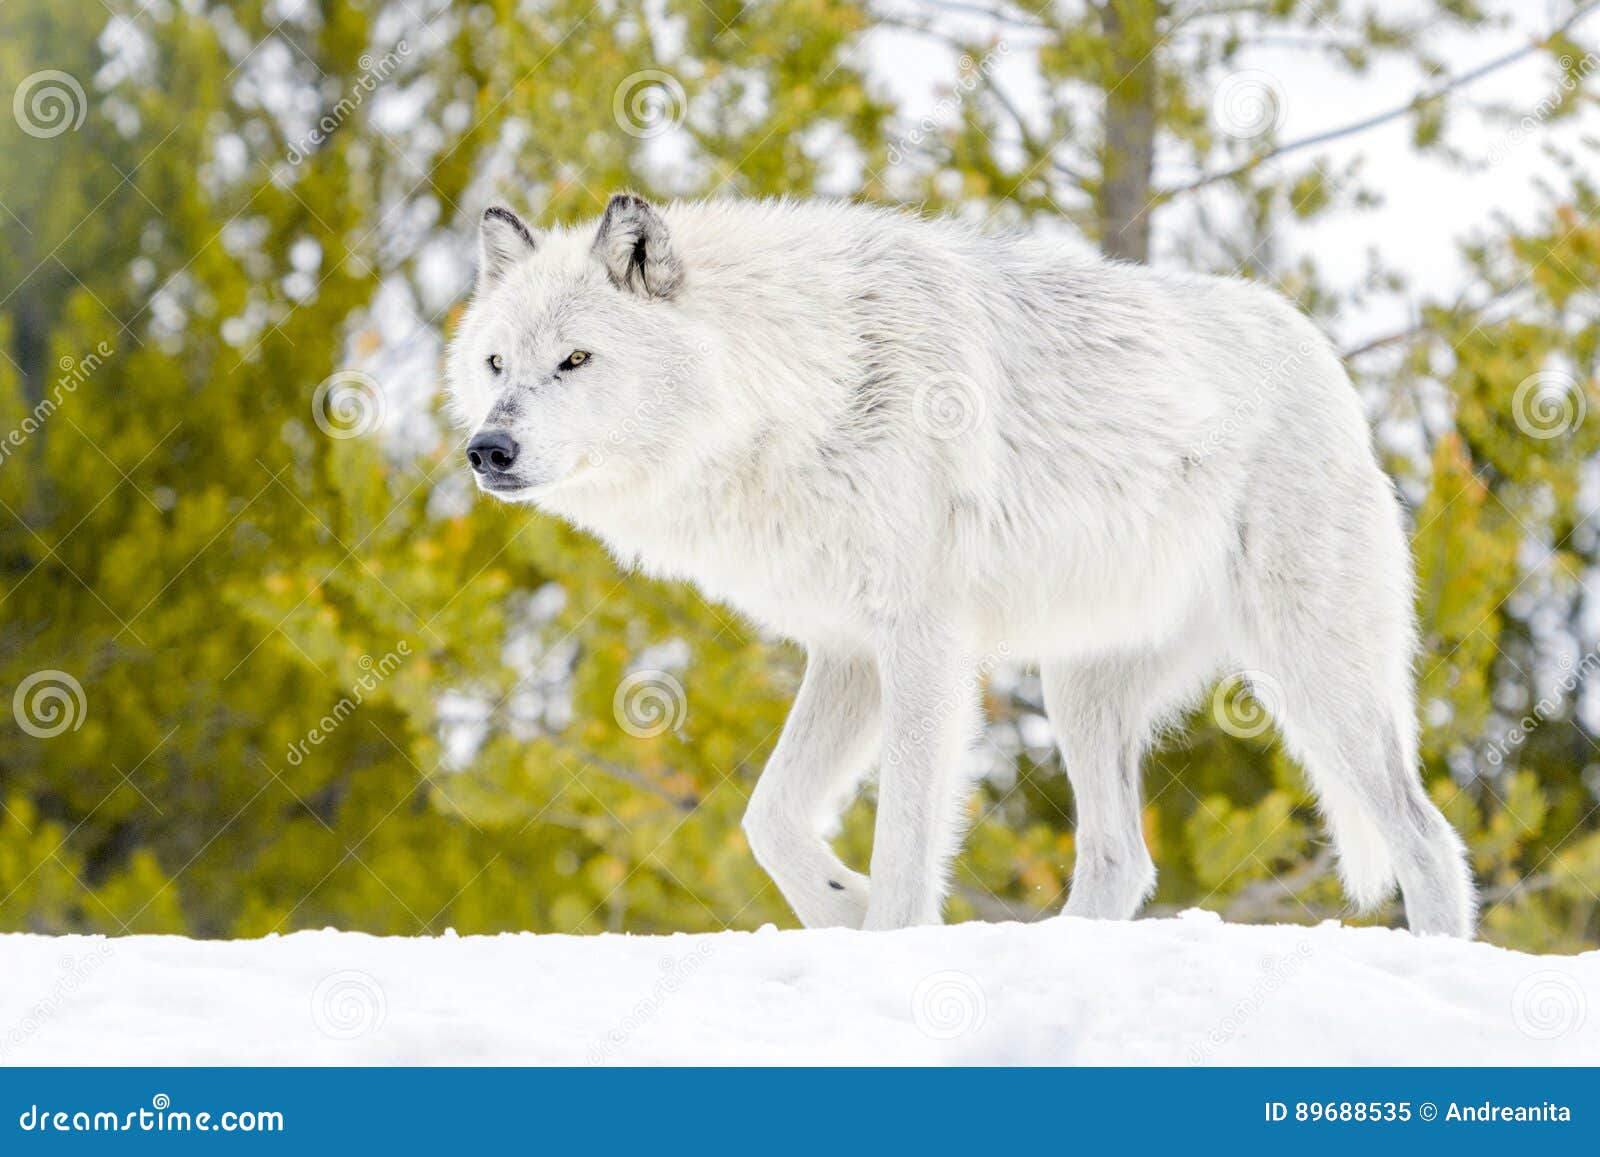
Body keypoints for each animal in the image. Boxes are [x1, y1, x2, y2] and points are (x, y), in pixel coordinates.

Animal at [445, 192, 1476, 937]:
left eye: (576, 359)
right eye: (496, 364)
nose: (487, 449)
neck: (809, 383)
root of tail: (1327, 363)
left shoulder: (923, 646)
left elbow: (905, 838)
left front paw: (888, 939)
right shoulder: (848, 651)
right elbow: (767, 819)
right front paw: (841, 908)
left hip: (1313, 679)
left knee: (1430, 841)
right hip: (1080, 692)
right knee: (1121, 859)